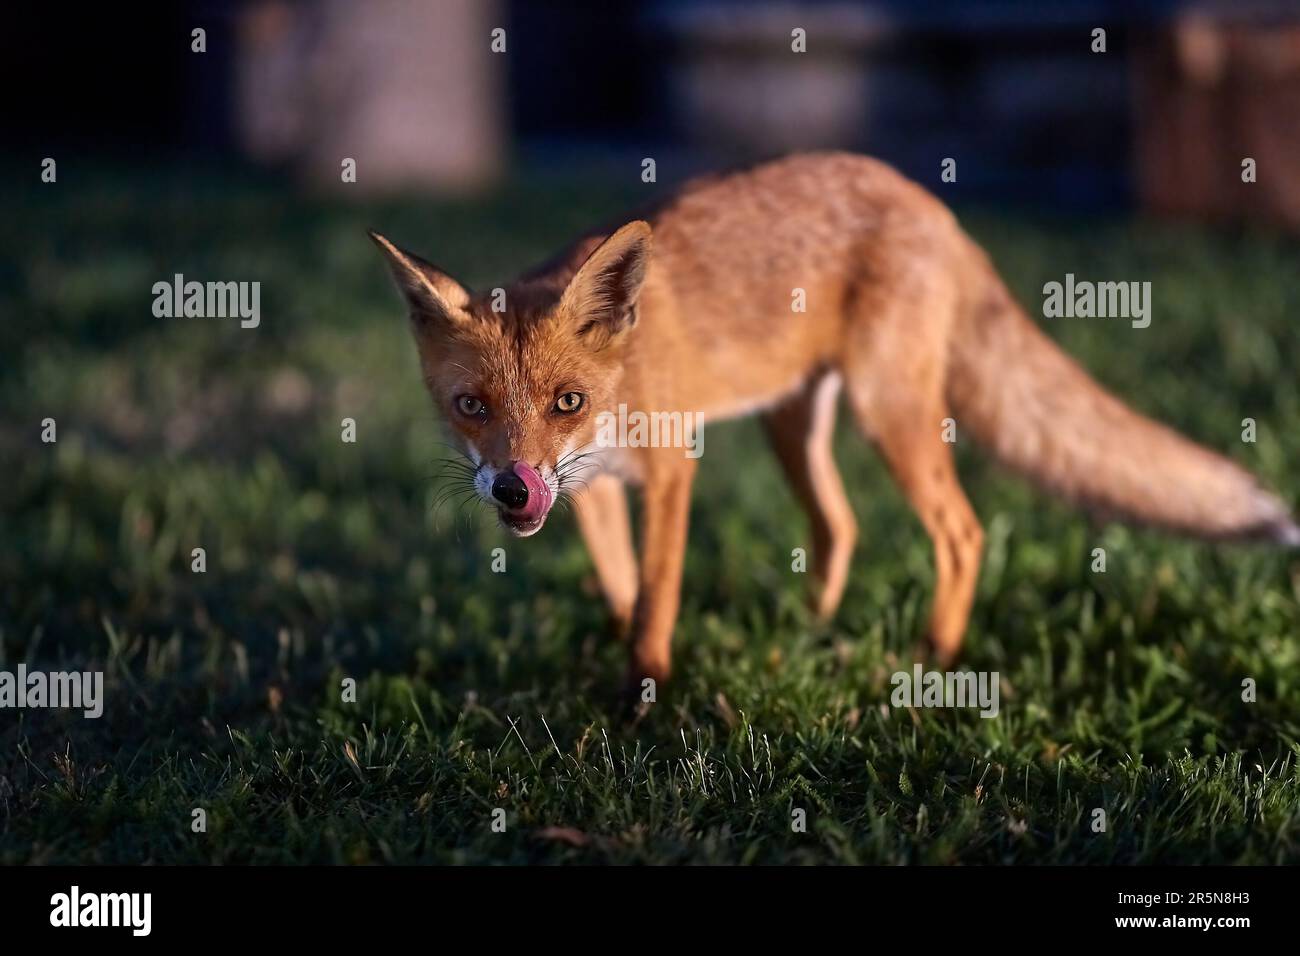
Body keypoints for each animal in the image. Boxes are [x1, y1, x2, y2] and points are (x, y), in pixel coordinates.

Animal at [370, 152, 1299, 689]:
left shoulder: (669, 471)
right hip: (795, 426)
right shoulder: (591, 489)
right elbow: (621, 584)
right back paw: (813, 632)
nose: (514, 490)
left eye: (568, 402)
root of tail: (928, 201)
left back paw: (933, 658)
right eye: (471, 407)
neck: (620, 389)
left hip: (890, 414)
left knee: (961, 531)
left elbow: (659, 592)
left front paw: (647, 691)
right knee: (841, 525)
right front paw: (620, 660)